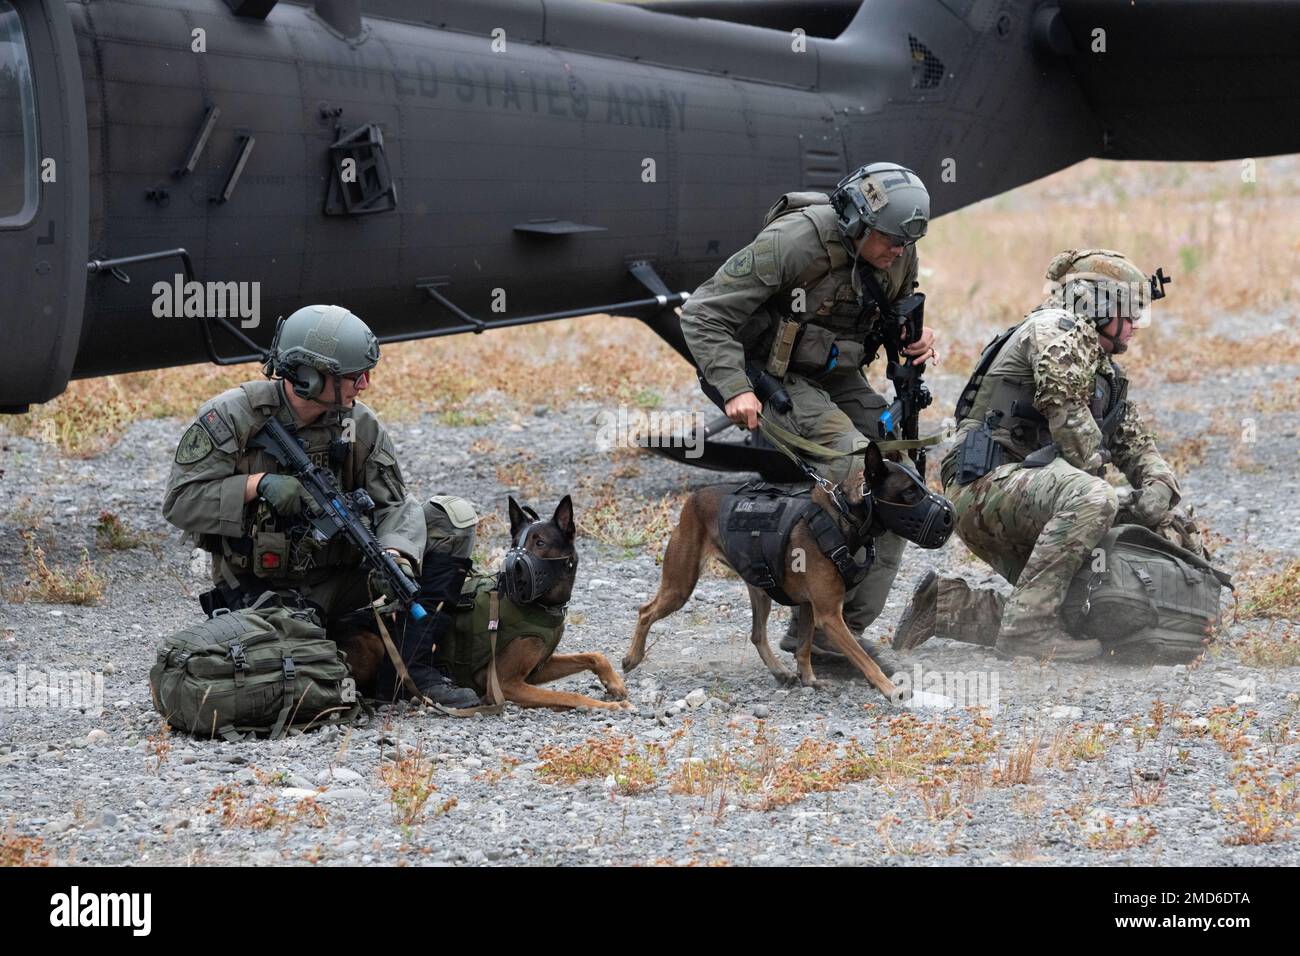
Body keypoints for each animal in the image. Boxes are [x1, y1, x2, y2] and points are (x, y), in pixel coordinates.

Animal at [332, 494, 631, 712]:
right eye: (514, 543)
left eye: (541, 543)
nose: (512, 568)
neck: (541, 606)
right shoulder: (504, 684)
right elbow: (571, 697)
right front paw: (606, 705)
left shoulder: (536, 671)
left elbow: (594, 655)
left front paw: (614, 684)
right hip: (373, 643)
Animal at [621, 447, 925, 702]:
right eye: (910, 492)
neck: (842, 515)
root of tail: (694, 498)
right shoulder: (829, 615)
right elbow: (864, 659)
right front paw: (889, 688)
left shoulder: (809, 607)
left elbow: (803, 648)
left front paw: (809, 679)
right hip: (680, 586)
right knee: (645, 611)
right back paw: (632, 658)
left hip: (759, 590)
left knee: (757, 635)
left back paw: (779, 671)